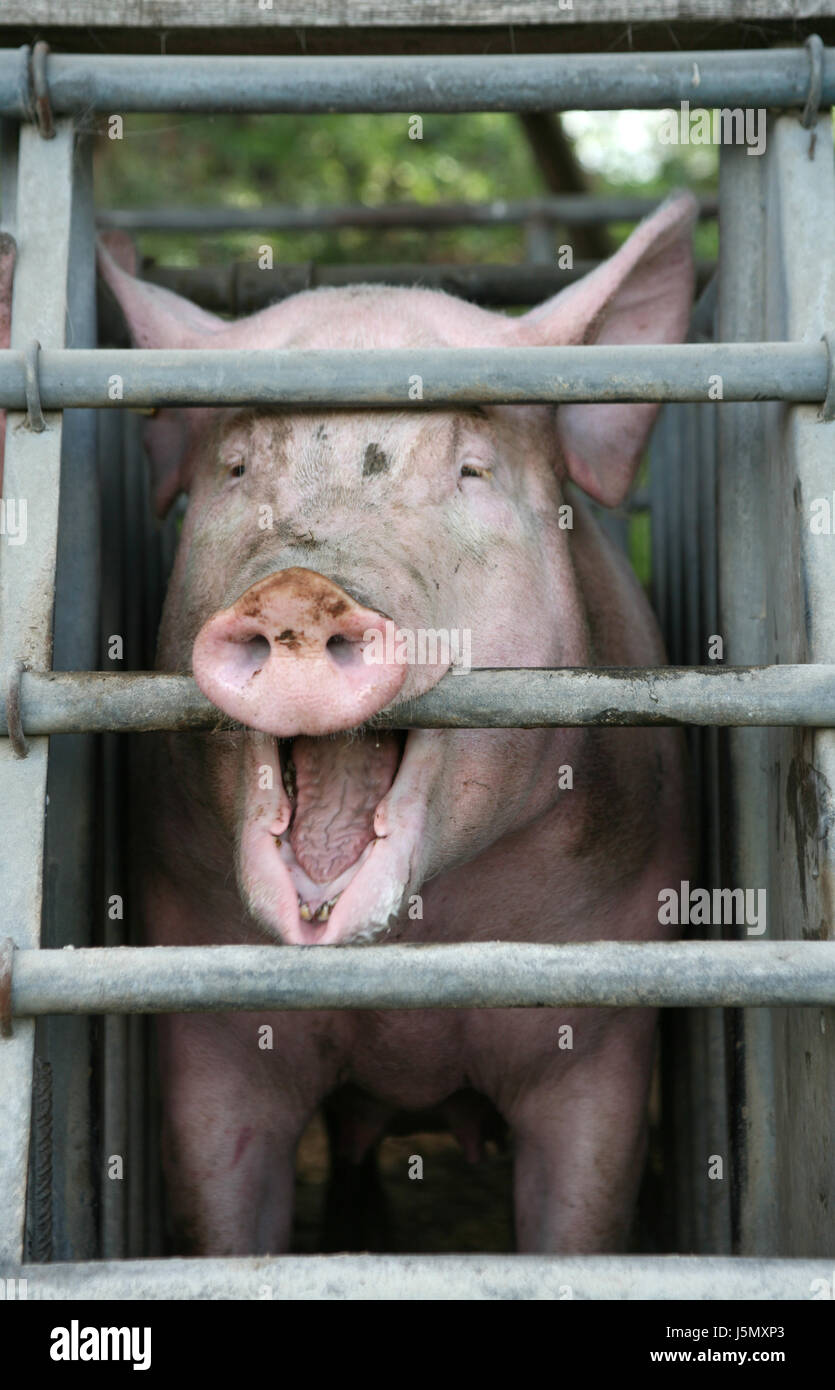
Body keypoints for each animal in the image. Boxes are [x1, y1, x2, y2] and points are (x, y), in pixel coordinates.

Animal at [98, 192, 694, 1256]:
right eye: (238, 466)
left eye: (472, 471)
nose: (301, 588)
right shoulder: (205, 1024)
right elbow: (224, 1213)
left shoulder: (604, 1029)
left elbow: (579, 1216)